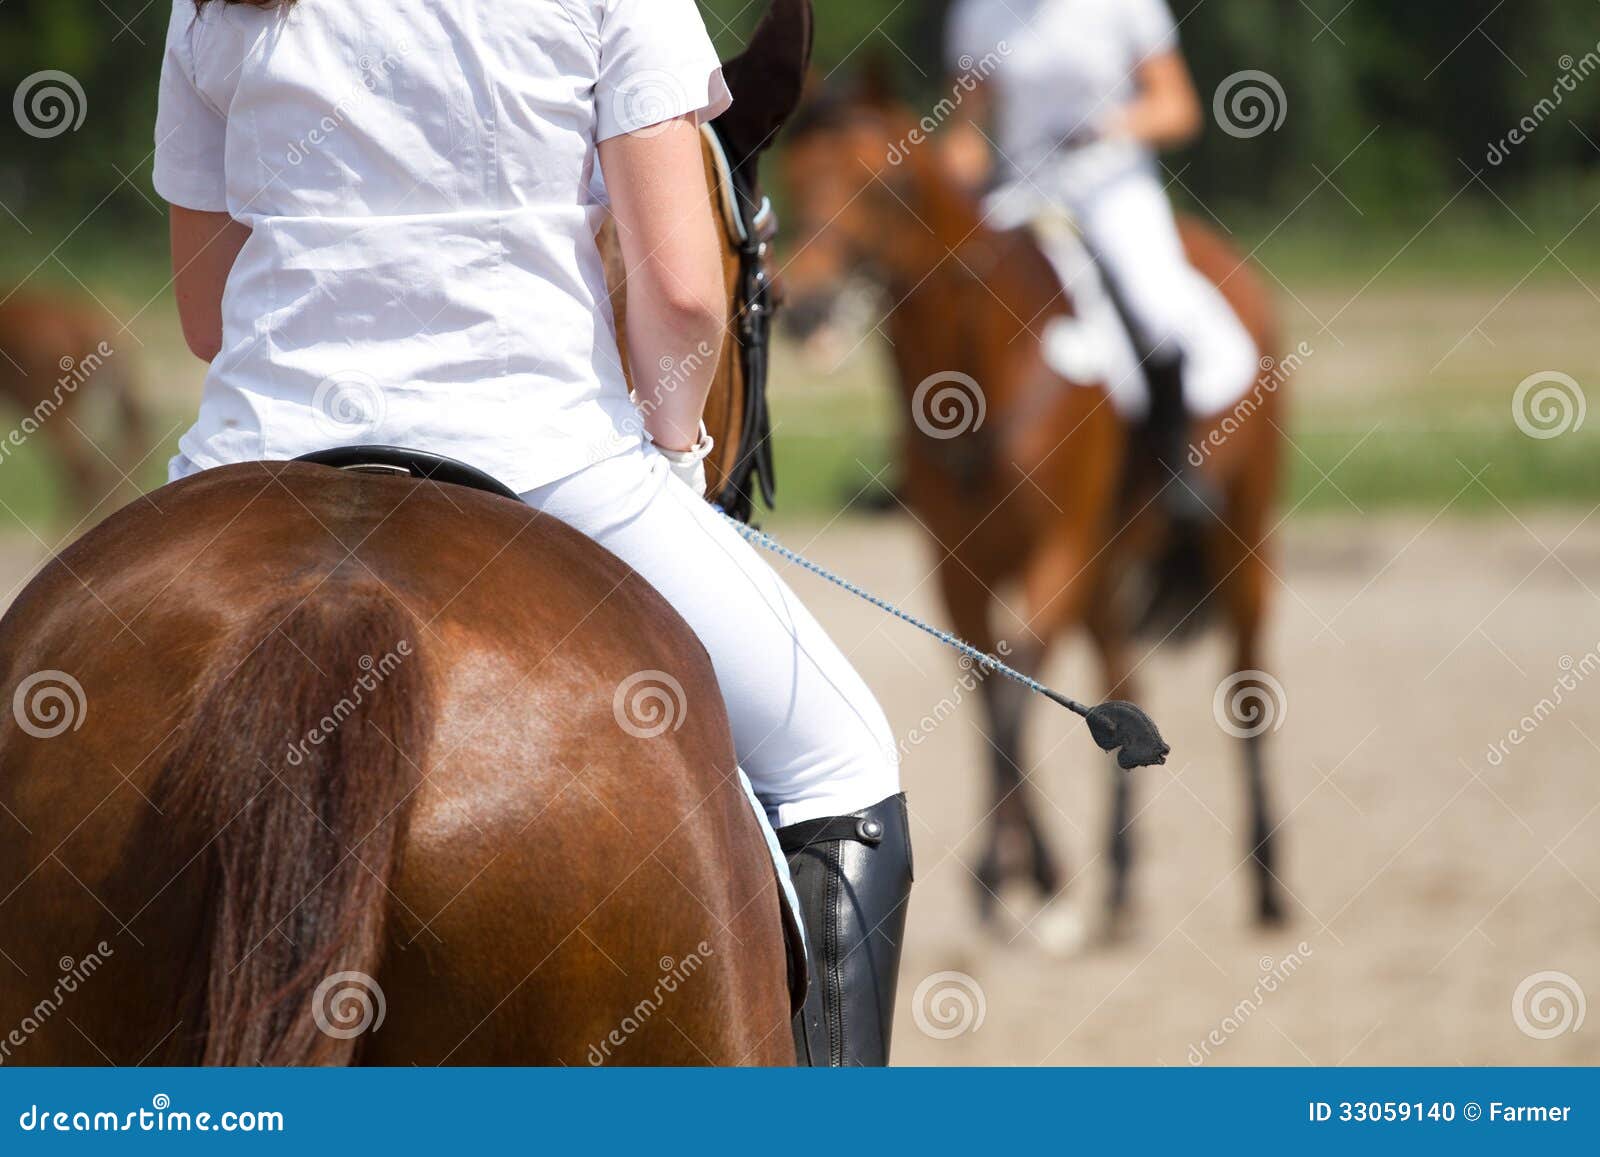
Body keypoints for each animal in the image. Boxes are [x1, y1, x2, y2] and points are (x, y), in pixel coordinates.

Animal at [777, 84, 1288, 943]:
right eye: (790, 173)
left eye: (885, 186)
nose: (804, 308)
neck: (982, 368)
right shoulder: (957, 565)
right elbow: (992, 692)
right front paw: (1036, 875)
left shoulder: (1059, 551)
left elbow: (1021, 688)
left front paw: (1004, 875)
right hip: (1112, 566)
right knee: (1125, 679)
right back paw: (1119, 885)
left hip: (1238, 542)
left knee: (1248, 689)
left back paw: (1271, 888)